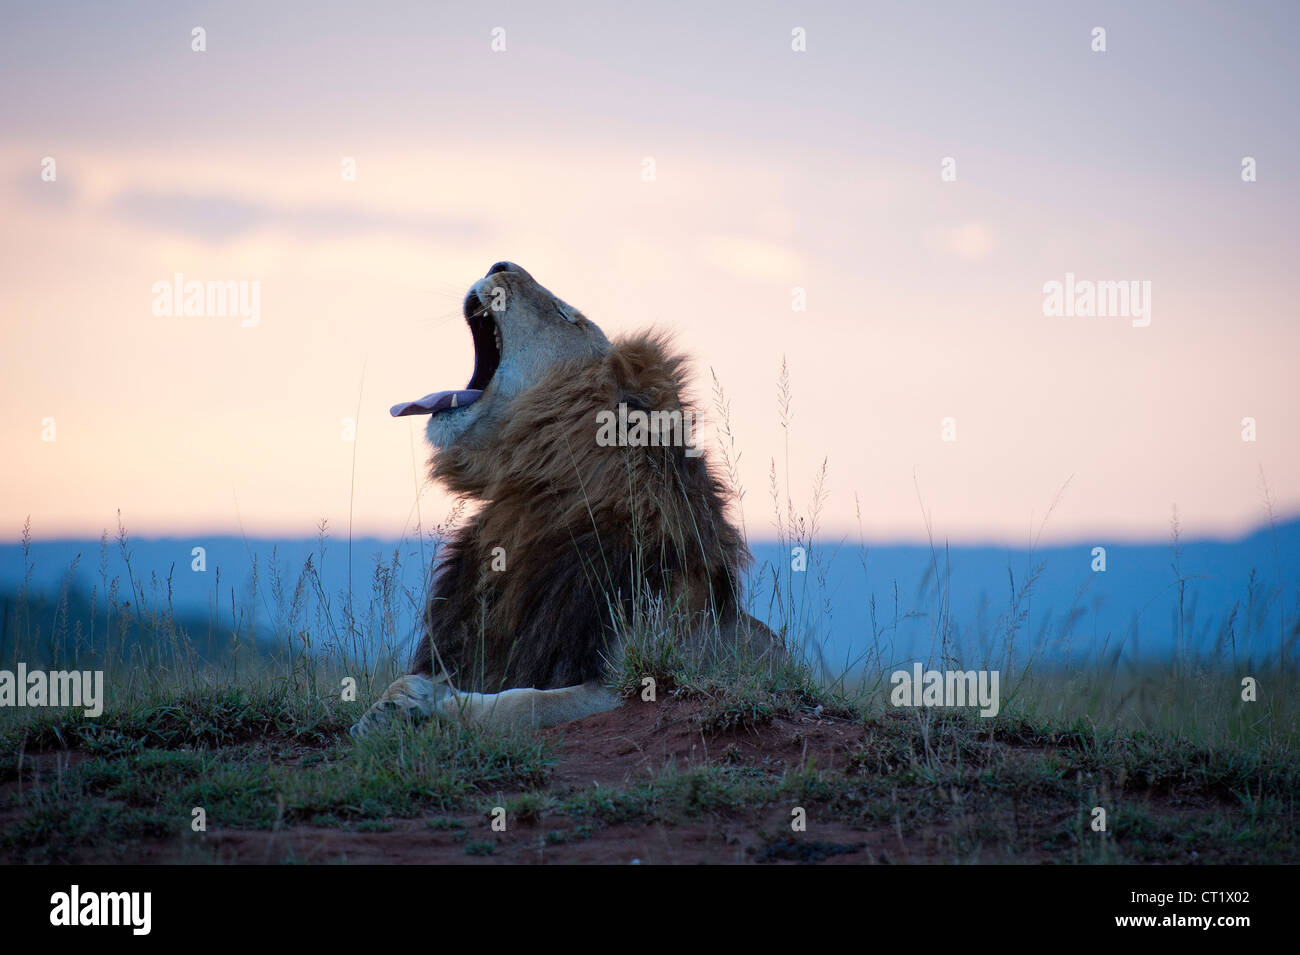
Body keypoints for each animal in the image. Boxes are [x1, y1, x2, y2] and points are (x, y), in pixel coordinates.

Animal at [350, 262, 778, 737]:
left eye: (566, 316)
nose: (500, 265)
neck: (533, 503)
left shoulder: (637, 681)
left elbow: (523, 704)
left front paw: (430, 711)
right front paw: (387, 708)